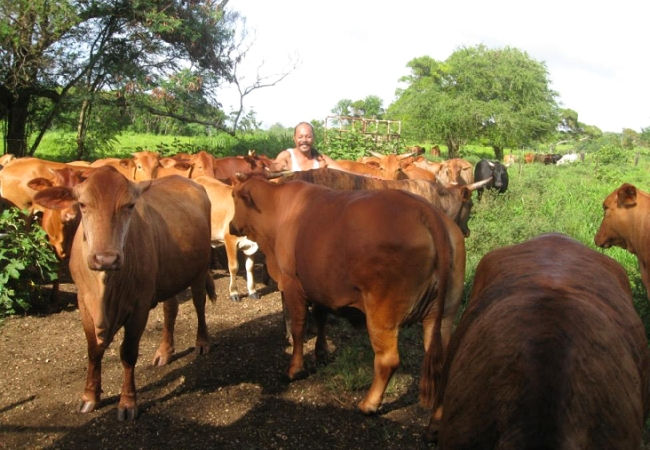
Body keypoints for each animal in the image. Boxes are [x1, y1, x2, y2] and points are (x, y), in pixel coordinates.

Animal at [34, 166, 216, 420]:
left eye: (129, 206)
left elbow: (128, 352)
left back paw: (202, 342)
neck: (105, 289)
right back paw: (164, 351)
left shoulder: (139, 306)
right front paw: (90, 396)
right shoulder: (83, 303)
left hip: (198, 270)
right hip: (169, 276)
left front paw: (128, 402)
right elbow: (93, 350)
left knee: (199, 303)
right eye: (82, 204)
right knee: (170, 309)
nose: (106, 258)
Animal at [229, 176, 466, 416]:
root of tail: (426, 210)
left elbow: (298, 328)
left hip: (382, 314)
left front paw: (295, 369)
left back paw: (369, 404)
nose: (230, 226)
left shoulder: (292, 283)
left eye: (234, 196)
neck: (278, 210)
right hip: (444, 314)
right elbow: (321, 318)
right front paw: (322, 353)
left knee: (387, 360)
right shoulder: (319, 285)